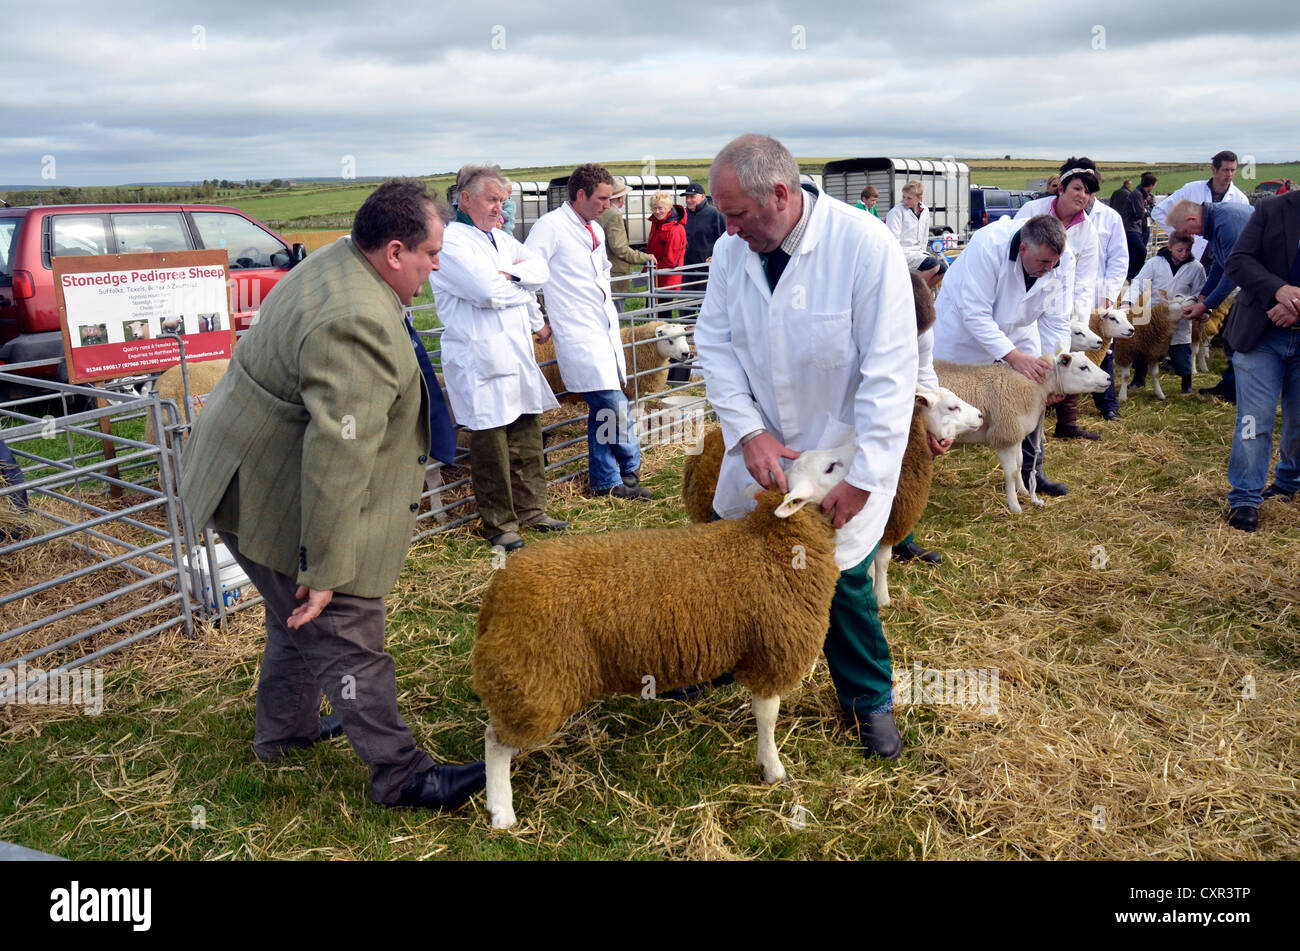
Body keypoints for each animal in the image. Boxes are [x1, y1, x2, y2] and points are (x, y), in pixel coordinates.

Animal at [474, 477, 845, 830]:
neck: (771, 543)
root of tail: (498, 594)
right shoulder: (773, 653)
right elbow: (768, 717)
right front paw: (773, 769)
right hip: (536, 677)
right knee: (494, 741)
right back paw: (502, 811)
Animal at [935, 353, 1111, 514]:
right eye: (1083, 367)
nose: (1109, 378)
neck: (1033, 387)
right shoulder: (1005, 434)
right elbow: (1011, 472)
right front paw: (1015, 506)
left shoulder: (1017, 434)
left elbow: (1019, 463)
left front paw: (1024, 491)